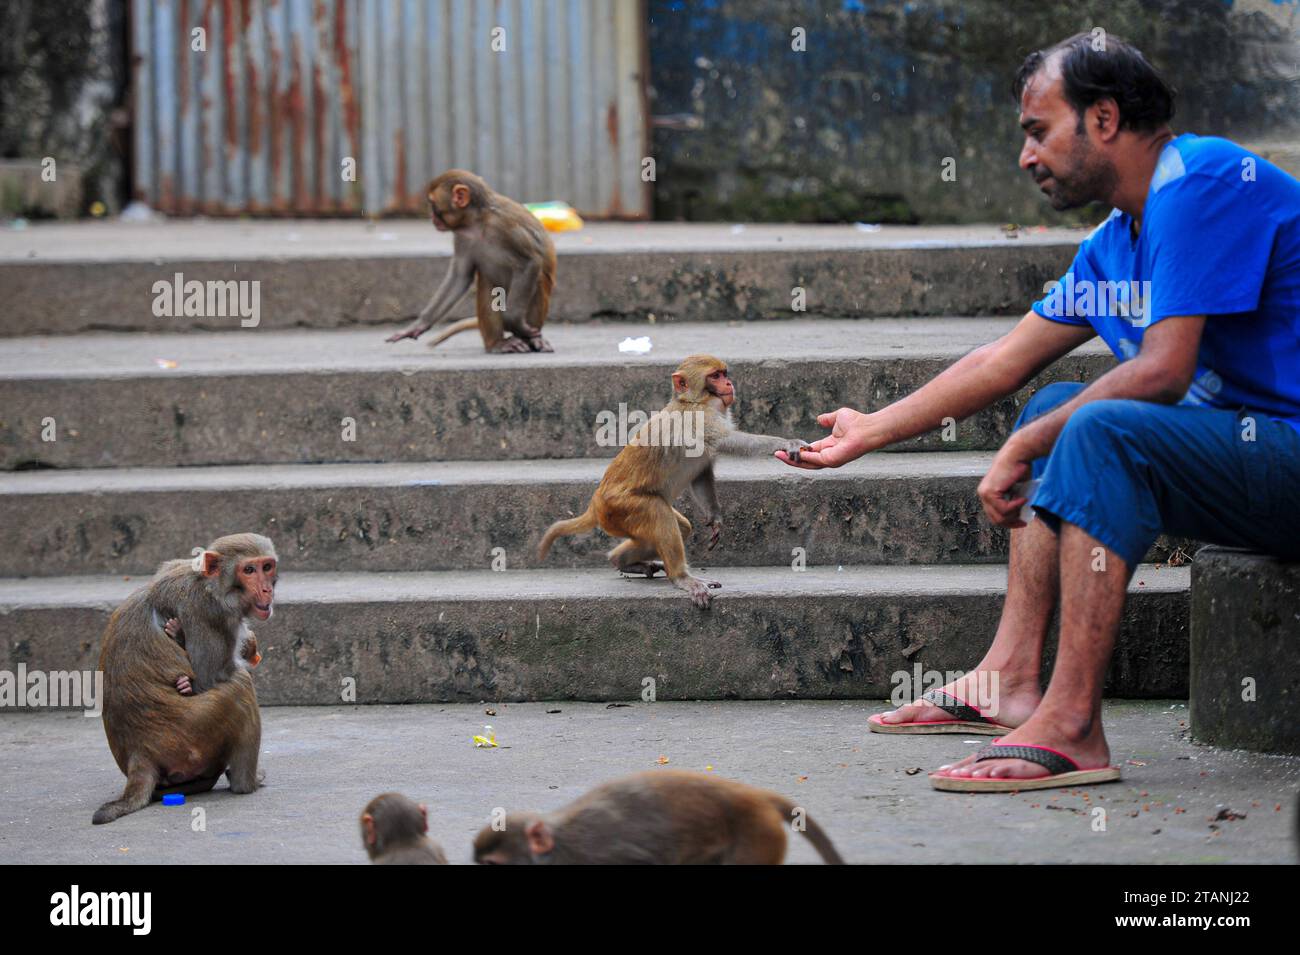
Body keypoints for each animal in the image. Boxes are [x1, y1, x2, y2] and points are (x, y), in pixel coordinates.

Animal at [92, 533, 276, 825]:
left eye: (267, 567)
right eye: (249, 570)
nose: (268, 590)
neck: (209, 584)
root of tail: (138, 756)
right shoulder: (209, 612)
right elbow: (209, 678)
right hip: (193, 737)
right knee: (240, 686)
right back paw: (246, 783)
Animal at [385, 169, 557, 353]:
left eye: (432, 203)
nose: (431, 217)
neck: (477, 221)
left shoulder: (505, 226)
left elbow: (529, 263)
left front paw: (515, 323)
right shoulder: (462, 237)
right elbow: (460, 276)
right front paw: (418, 325)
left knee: (538, 279)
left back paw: (528, 338)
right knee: (490, 288)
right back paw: (497, 343)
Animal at [538, 355, 807, 608]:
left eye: (725, 373)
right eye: (715, 376)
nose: (729, 383)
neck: (695, 401)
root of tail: (595, 504)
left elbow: (701, 475)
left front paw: (715, 517)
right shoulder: (701, 420)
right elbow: (731, 441)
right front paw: (787, 443)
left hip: (619, 518)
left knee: (678, 528)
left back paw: (621, 561)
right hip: (621, 507)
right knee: (659, 513)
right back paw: (682, 578)